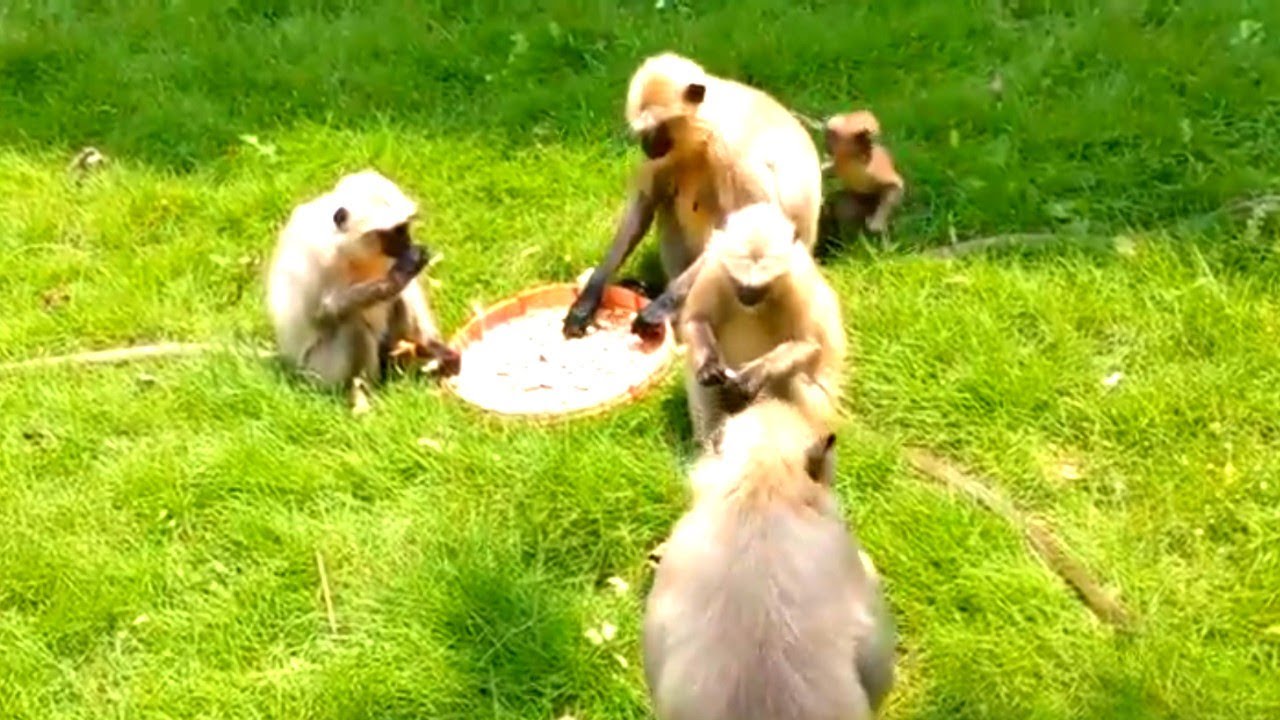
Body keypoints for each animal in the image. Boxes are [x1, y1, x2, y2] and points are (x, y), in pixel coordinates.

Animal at [266, 170, 460, 412]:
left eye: (404, 228)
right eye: (394, 232)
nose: (407, 241)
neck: (347, 247)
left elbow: (407, 289)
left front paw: (433, 345)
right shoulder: (320, 254)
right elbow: (321, 314)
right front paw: (398, 276)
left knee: (397, 301)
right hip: (318, 373)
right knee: (353, 326)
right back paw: (362, 395)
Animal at [562, 52, 823, 341]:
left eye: (658, 129)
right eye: (643, 133)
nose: (646, 145)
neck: (706, 129)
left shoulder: (732, 149)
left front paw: (659, 308)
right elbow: (644, 205)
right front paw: (588, 299)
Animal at [679, 202, 847, 447]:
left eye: (760, 288)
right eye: (739, 283)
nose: (747, 297)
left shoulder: (798, 281)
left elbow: (808, 343)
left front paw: (754, 374)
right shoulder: (716, 266)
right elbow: (697, 319)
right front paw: (709, 366)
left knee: (797, 376)